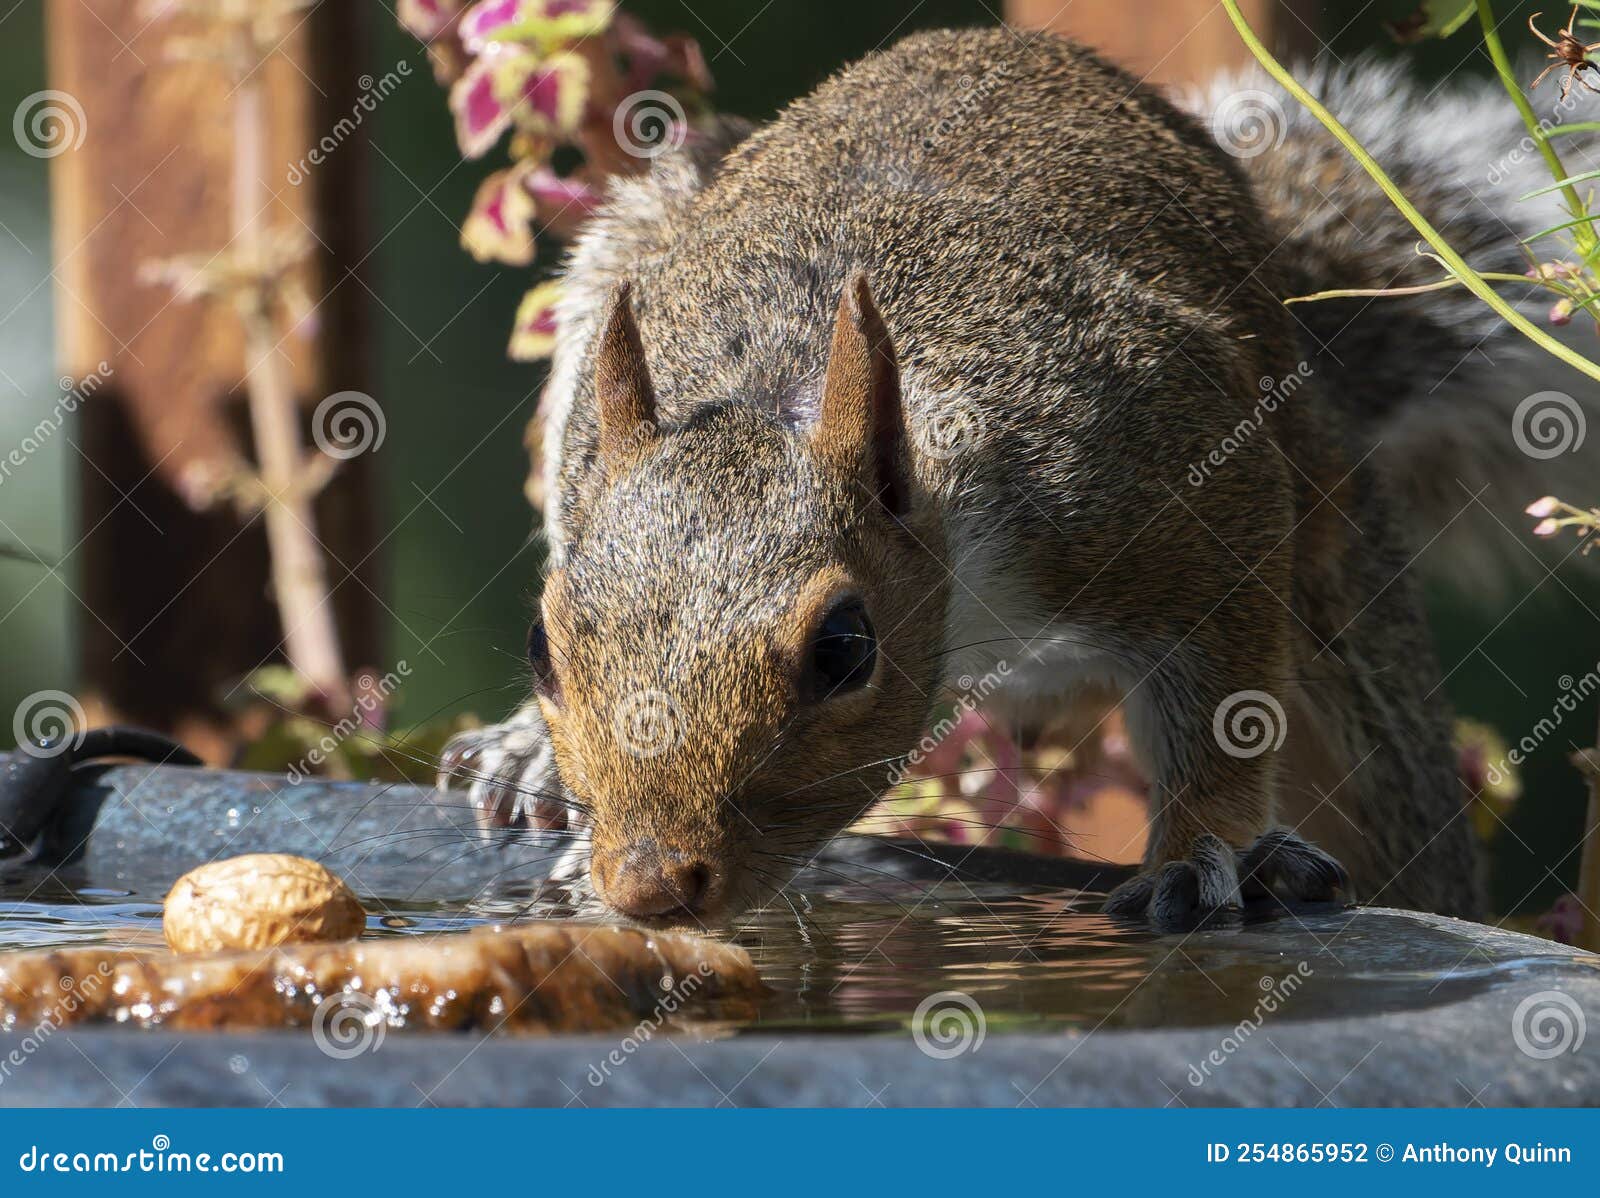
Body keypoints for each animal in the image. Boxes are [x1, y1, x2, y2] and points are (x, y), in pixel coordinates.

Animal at [439, 28, 1598, 928]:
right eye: (541, 643)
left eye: (845, 648)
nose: (648, 887)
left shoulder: (1163, 469)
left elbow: (1223, 697)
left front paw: (1202, 856)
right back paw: (523, 759)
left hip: (1333, 562)